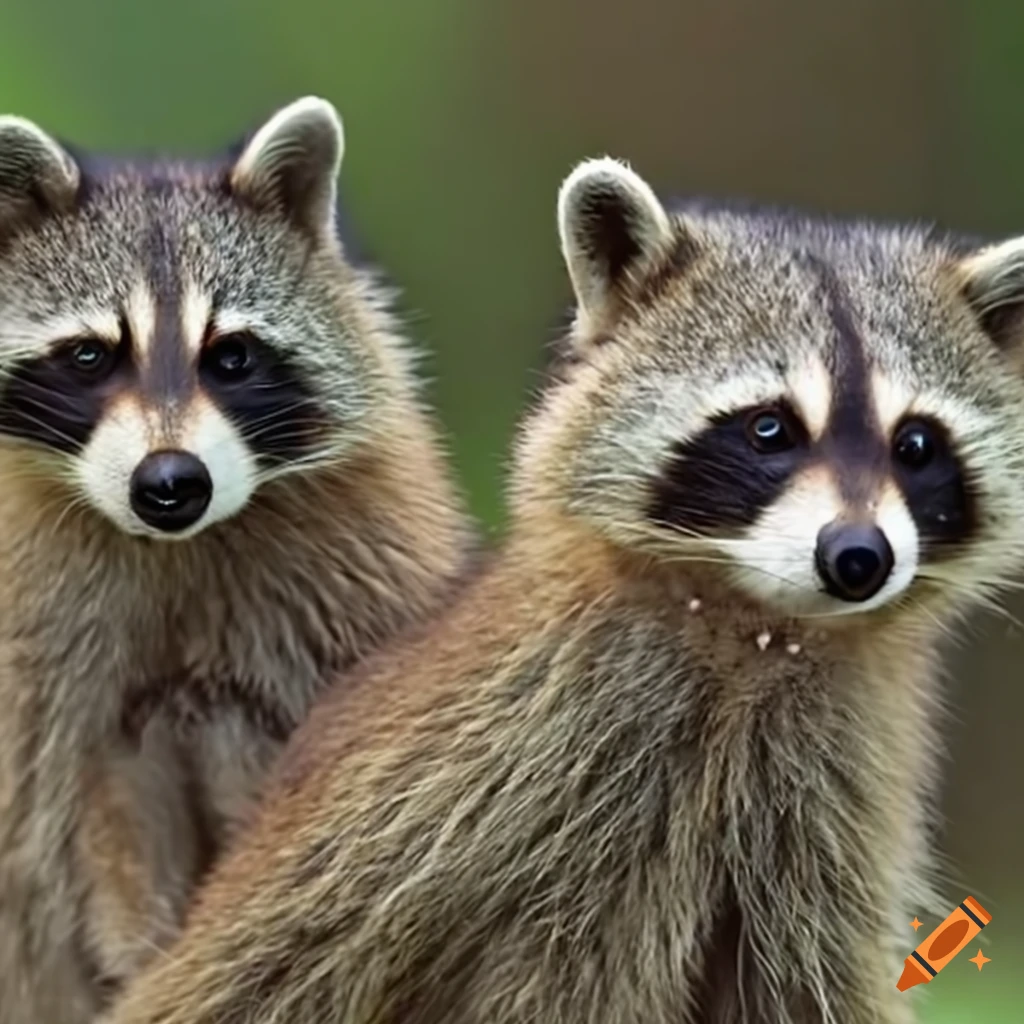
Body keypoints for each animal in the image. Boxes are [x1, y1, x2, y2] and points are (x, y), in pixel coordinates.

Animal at [0, 98, 470, 1023]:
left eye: (232, 356)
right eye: (89, 355)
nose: (170, 484)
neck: (171, 545)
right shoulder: (45, 670)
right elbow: (76, 807)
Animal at [104, 159, 1024, 1024]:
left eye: (916, 445)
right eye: (770, 429)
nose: (858, 556)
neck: (759, 626)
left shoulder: (829, 806)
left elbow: (813, 983)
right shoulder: (486, 759)